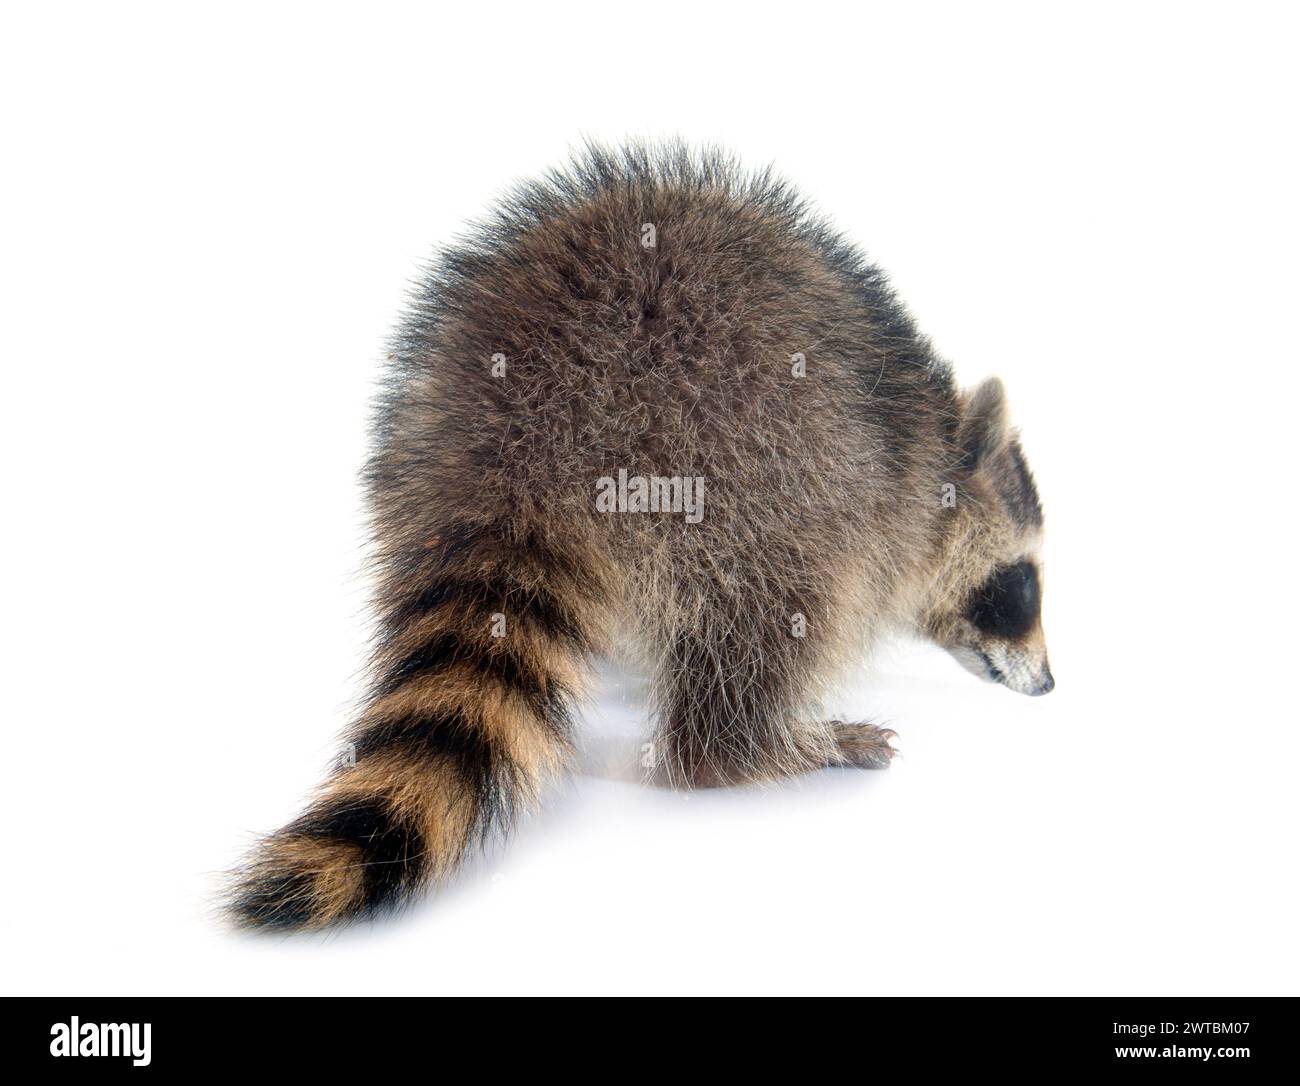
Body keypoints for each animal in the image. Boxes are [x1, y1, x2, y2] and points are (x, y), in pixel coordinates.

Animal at [228, 143, 1052, 931]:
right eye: (1022, 584)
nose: (1049, 684)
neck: (931, 441)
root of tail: (525, 437)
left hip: (414, 445)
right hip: (744, 471)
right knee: (774, 619)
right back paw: (757, 749)